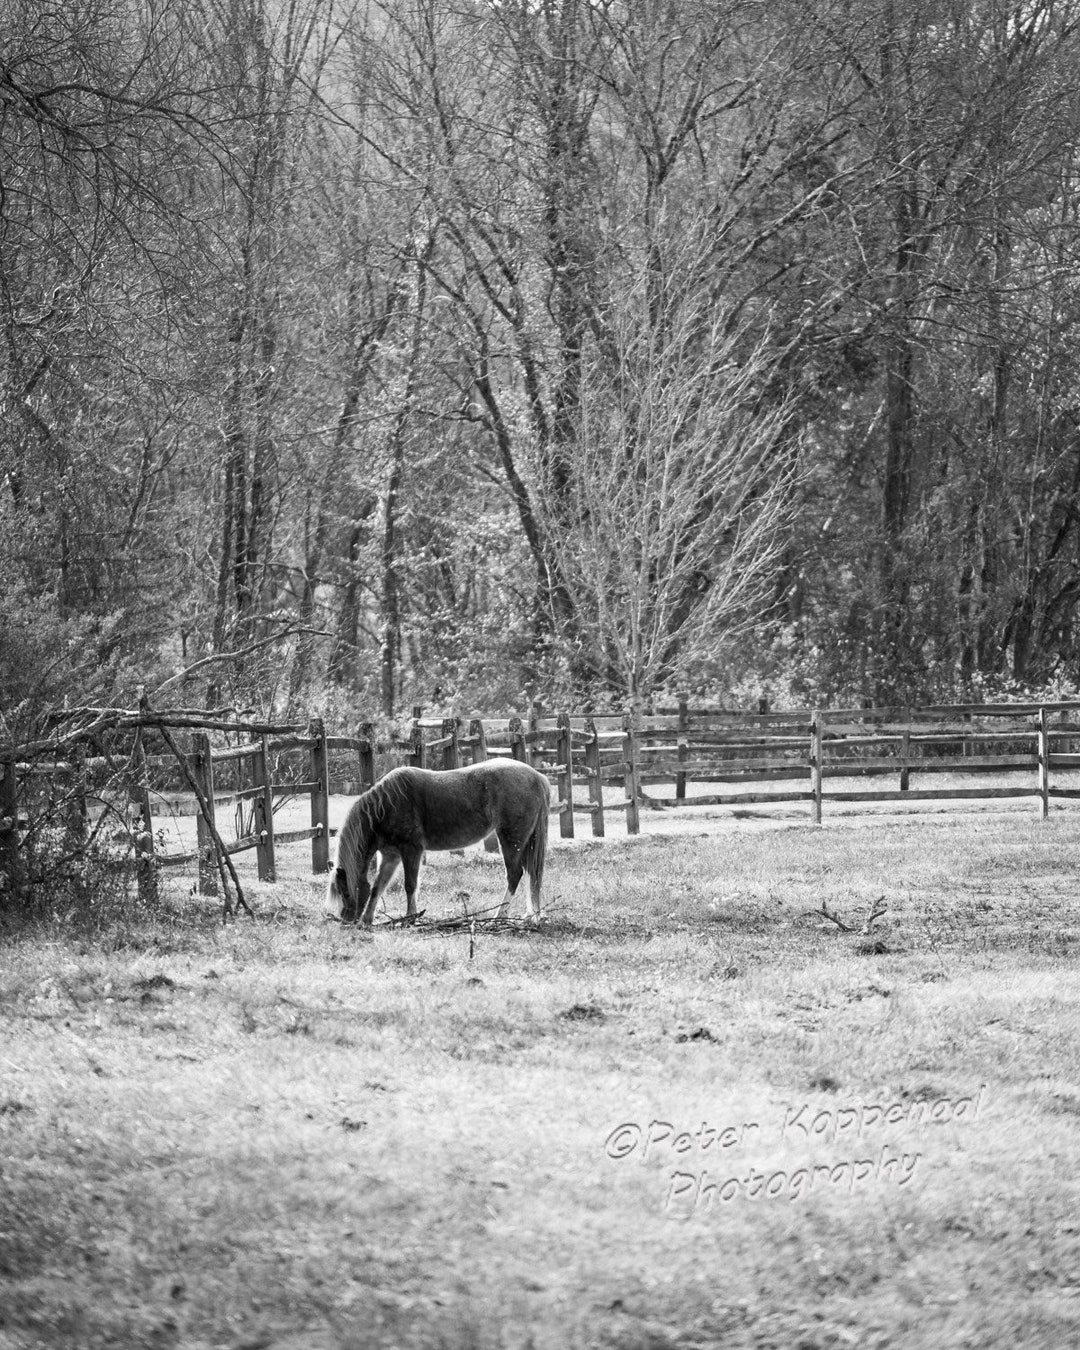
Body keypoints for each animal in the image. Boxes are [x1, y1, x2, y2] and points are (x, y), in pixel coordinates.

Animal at [326, 758, 550, 927]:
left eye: (345, 891)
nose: (346, 920)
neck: (386, 806)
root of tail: (537, 777)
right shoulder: (391, 855)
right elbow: (378, 887)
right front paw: (367, 920)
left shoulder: (412, 850)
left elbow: (410, 885)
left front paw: (410, 918)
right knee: (530, 875)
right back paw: (530, 916)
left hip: (511, 839)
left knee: (514, 875)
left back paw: (498, 917)